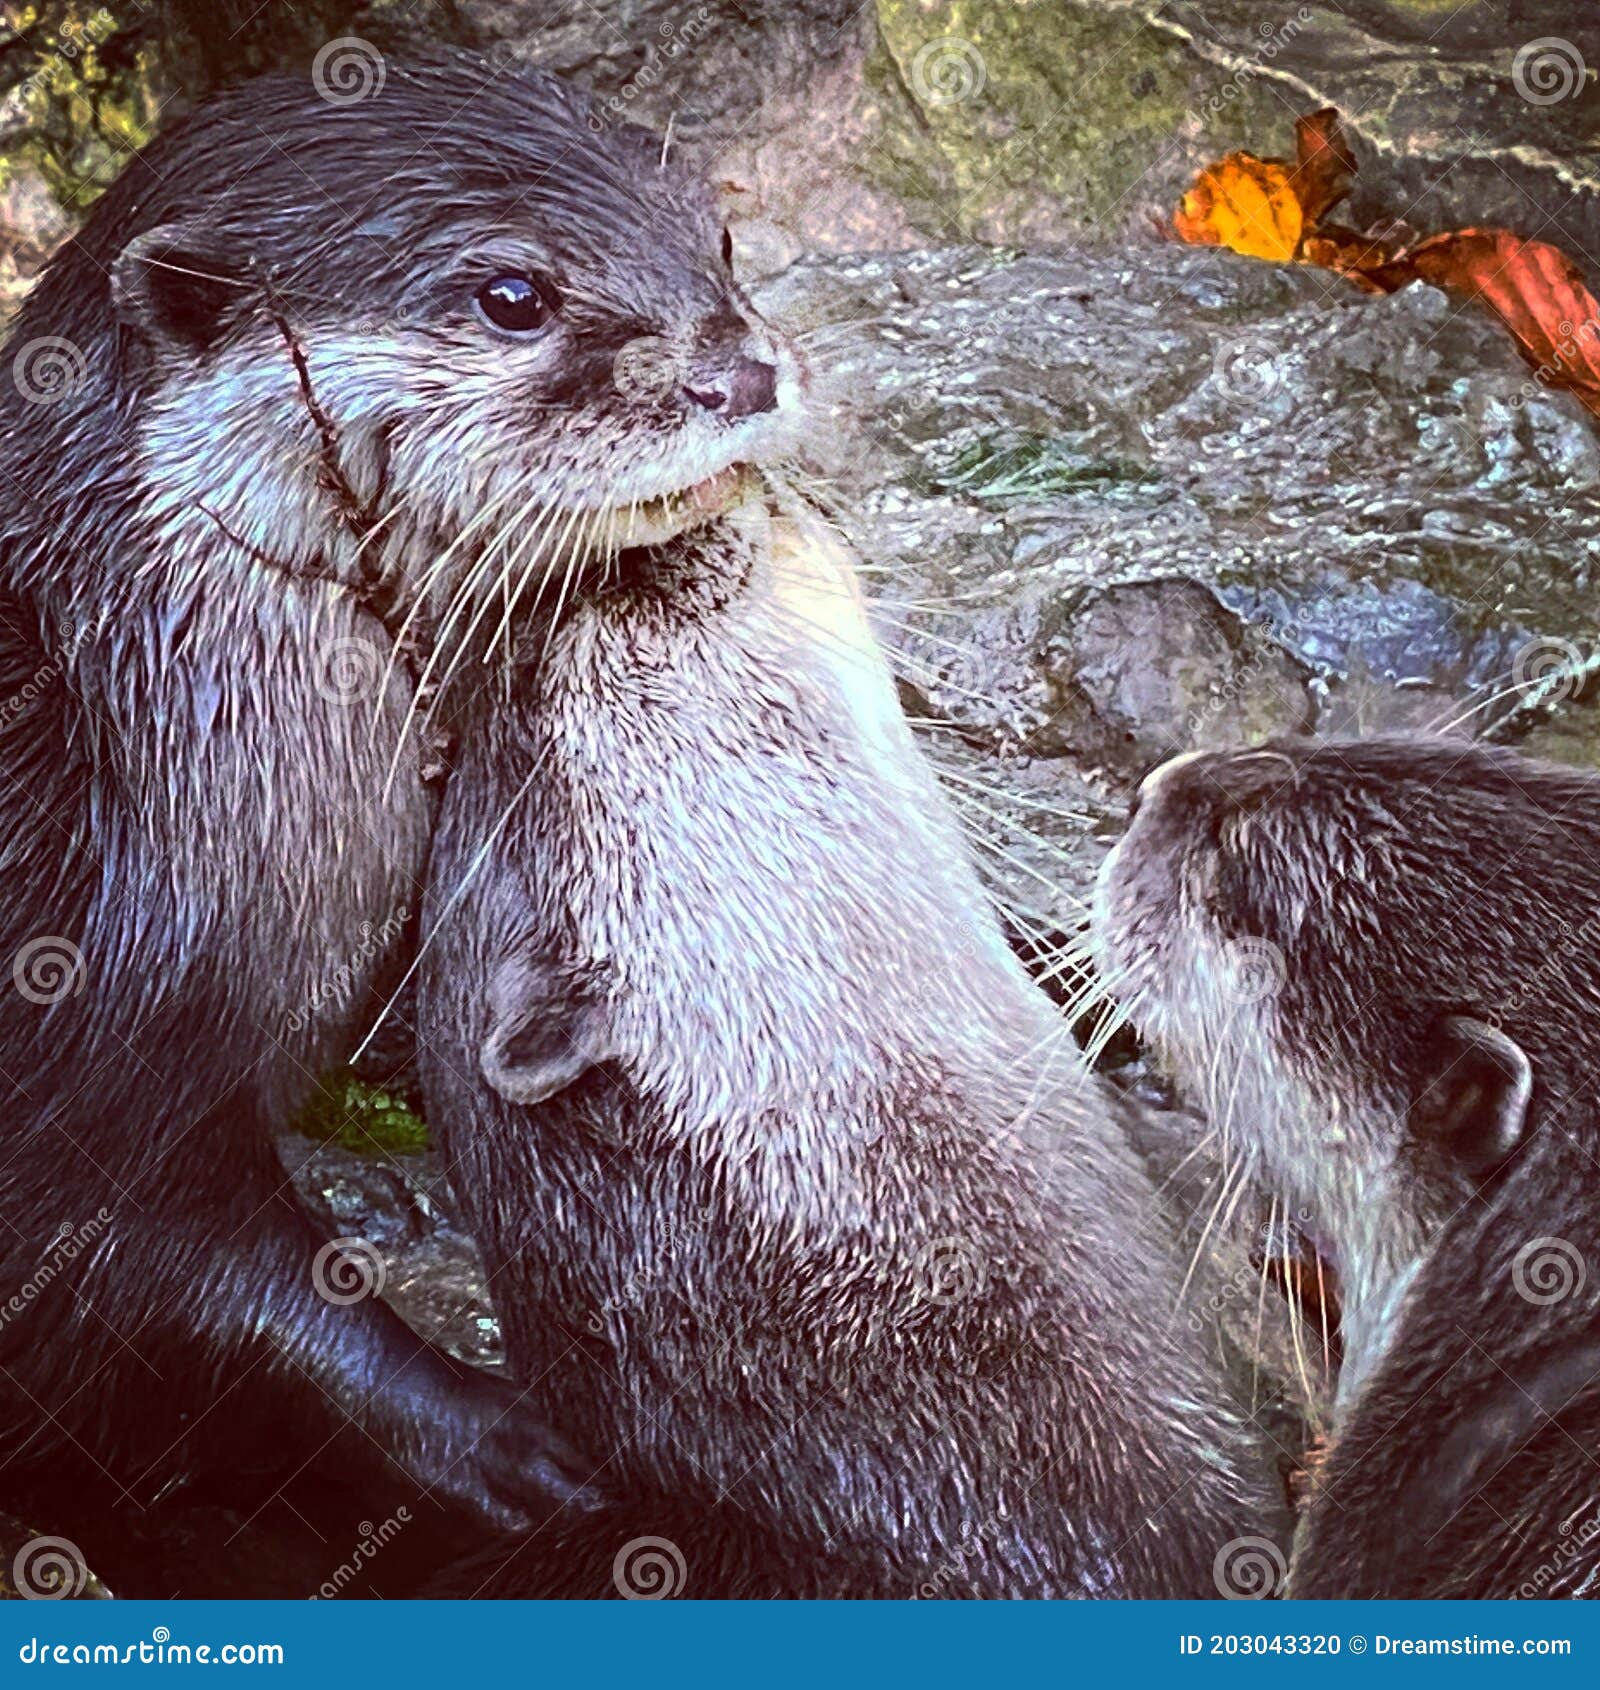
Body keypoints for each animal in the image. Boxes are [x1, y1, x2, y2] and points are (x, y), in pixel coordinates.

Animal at [0, 53, 797, 1530]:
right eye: (513, 295)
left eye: (717, 236)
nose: (744, 370)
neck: (119, 773)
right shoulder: (63, 1077)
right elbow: (164, 1272)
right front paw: (489, 1430)